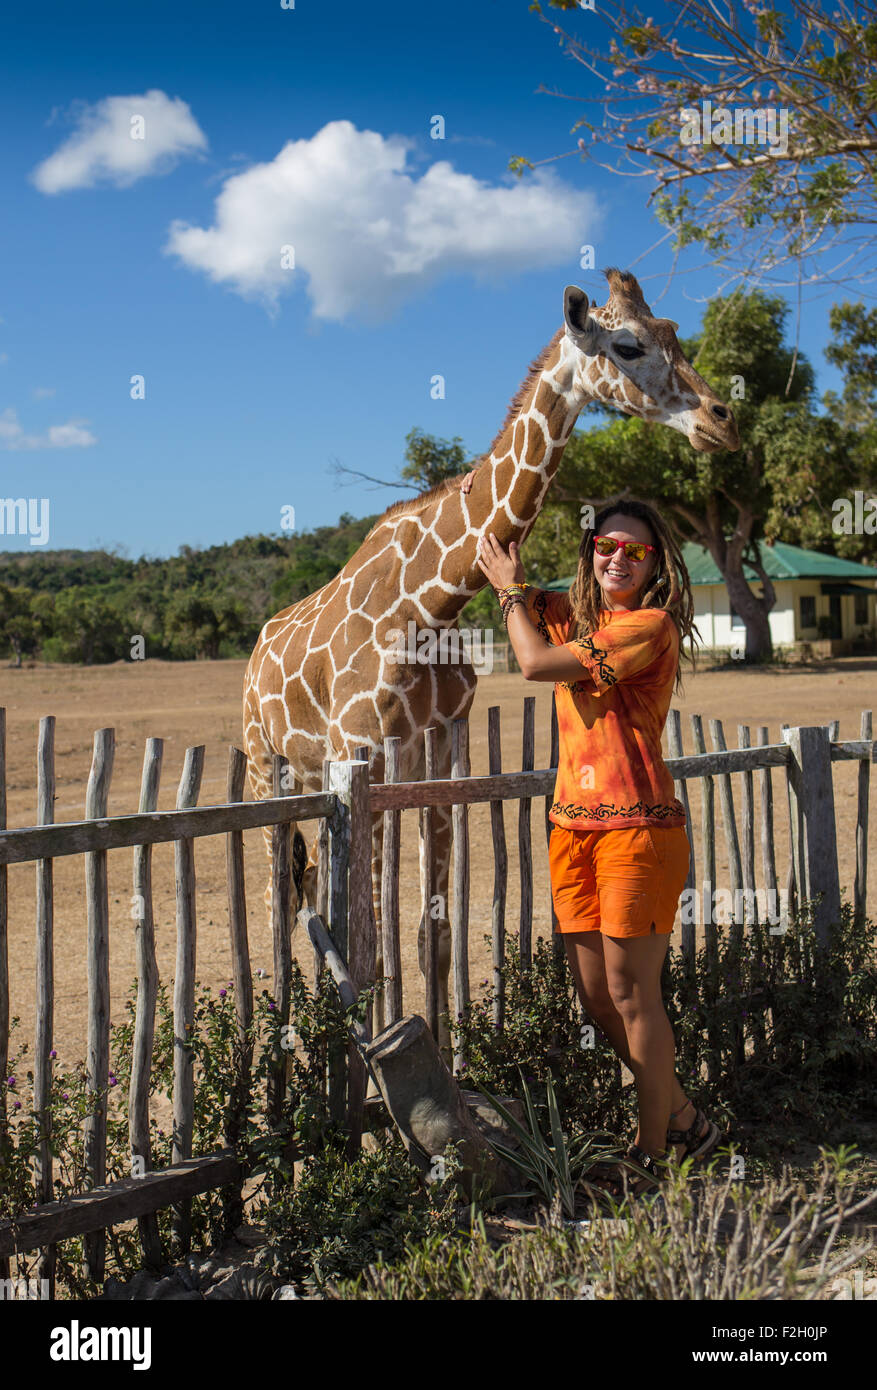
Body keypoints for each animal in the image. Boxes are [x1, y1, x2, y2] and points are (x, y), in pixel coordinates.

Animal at [243, 268, 739, 1053]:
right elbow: (371, 943)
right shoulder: (359, 744)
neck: (432, 600)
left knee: (311, 888)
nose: (722, 421)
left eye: (673, 333)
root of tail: (255, 650)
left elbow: (430, 936)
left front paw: (443, 1059)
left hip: (329, 772)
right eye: (628, 345)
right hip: (270, 763)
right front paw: (378, 1071)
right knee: (273, 904)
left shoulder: (442, 739)